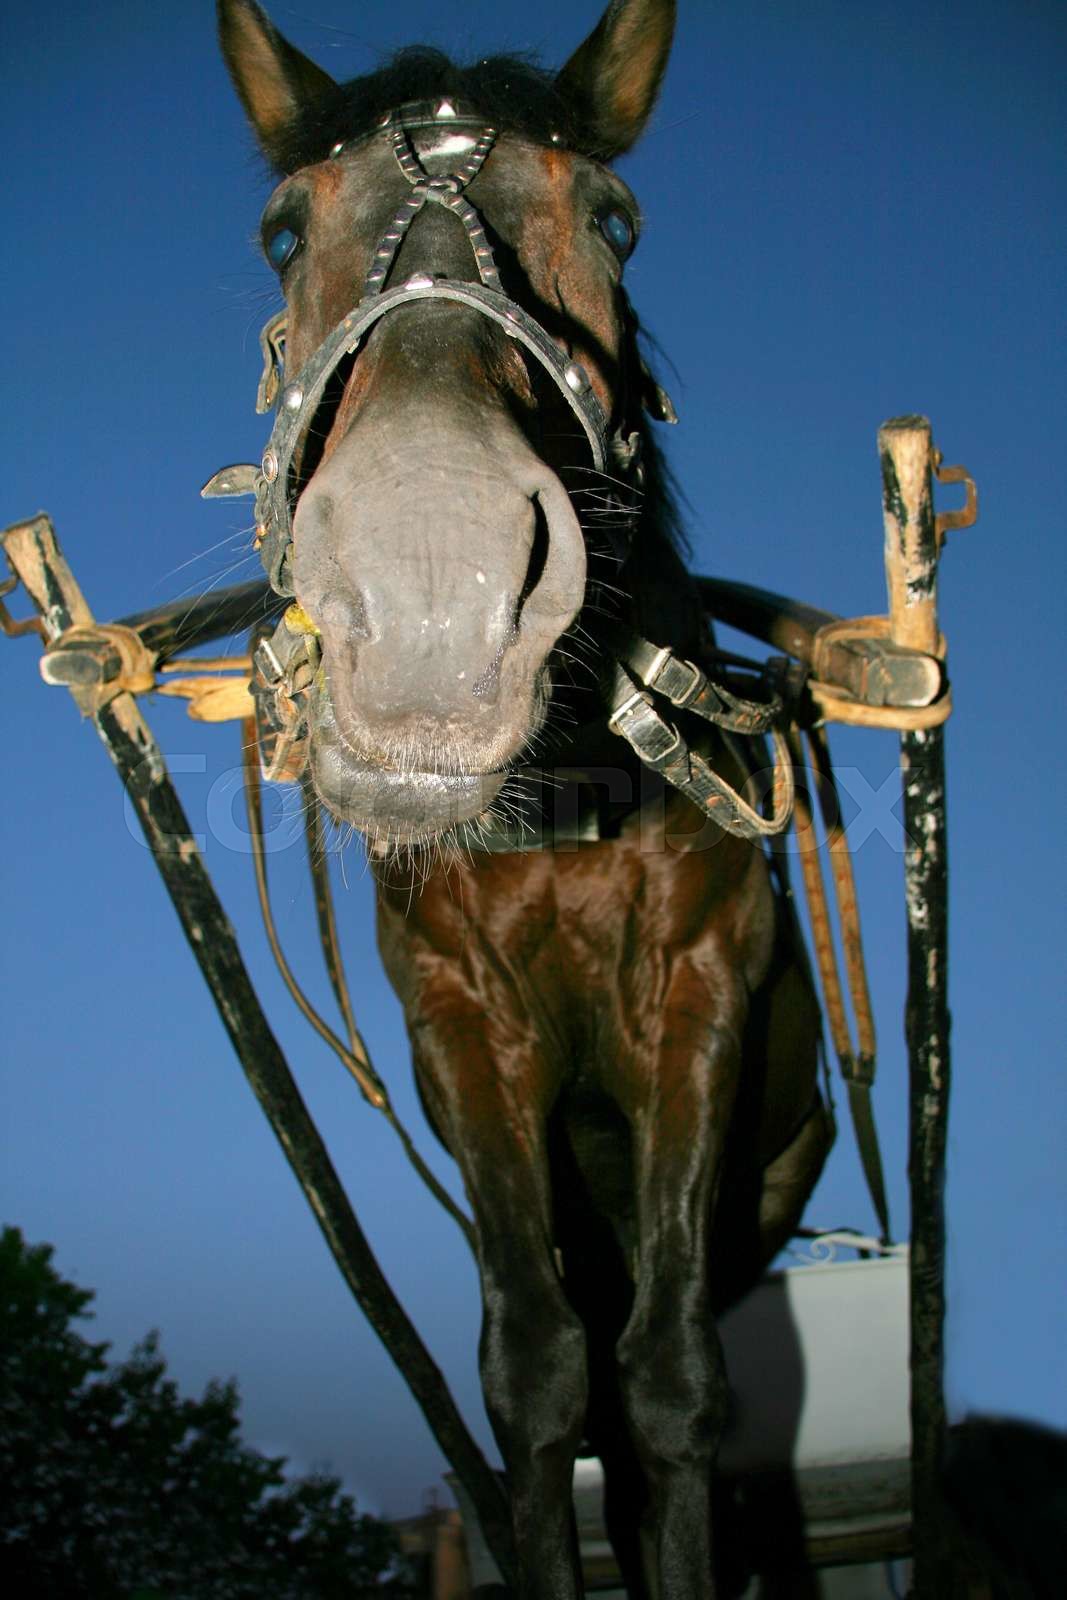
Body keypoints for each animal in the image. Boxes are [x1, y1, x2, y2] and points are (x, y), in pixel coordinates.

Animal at [217, 1, 832, 1594]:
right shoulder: (462, 1030)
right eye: (281, 228)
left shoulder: (692, 995)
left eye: (610, 217)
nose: (431, 578)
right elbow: (538, 1379)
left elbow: (670, 1384)